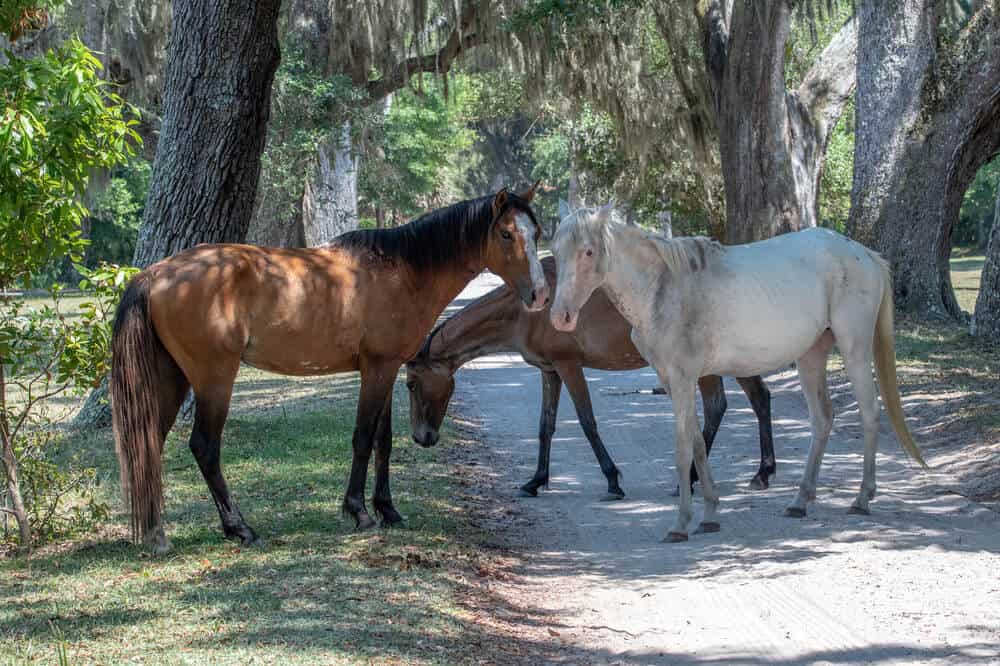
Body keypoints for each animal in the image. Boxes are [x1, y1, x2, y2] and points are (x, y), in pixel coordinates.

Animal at [404, 254, 772, 498]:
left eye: (410, 383)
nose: (421, 437)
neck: (524, 312)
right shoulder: (550, 369)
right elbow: (546, 425)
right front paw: (535, 481)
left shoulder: (569, 365)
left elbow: (586, 421)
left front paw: (612, 480)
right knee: (758, 398)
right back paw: (762, 472)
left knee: (716, 406)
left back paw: (693, 478)